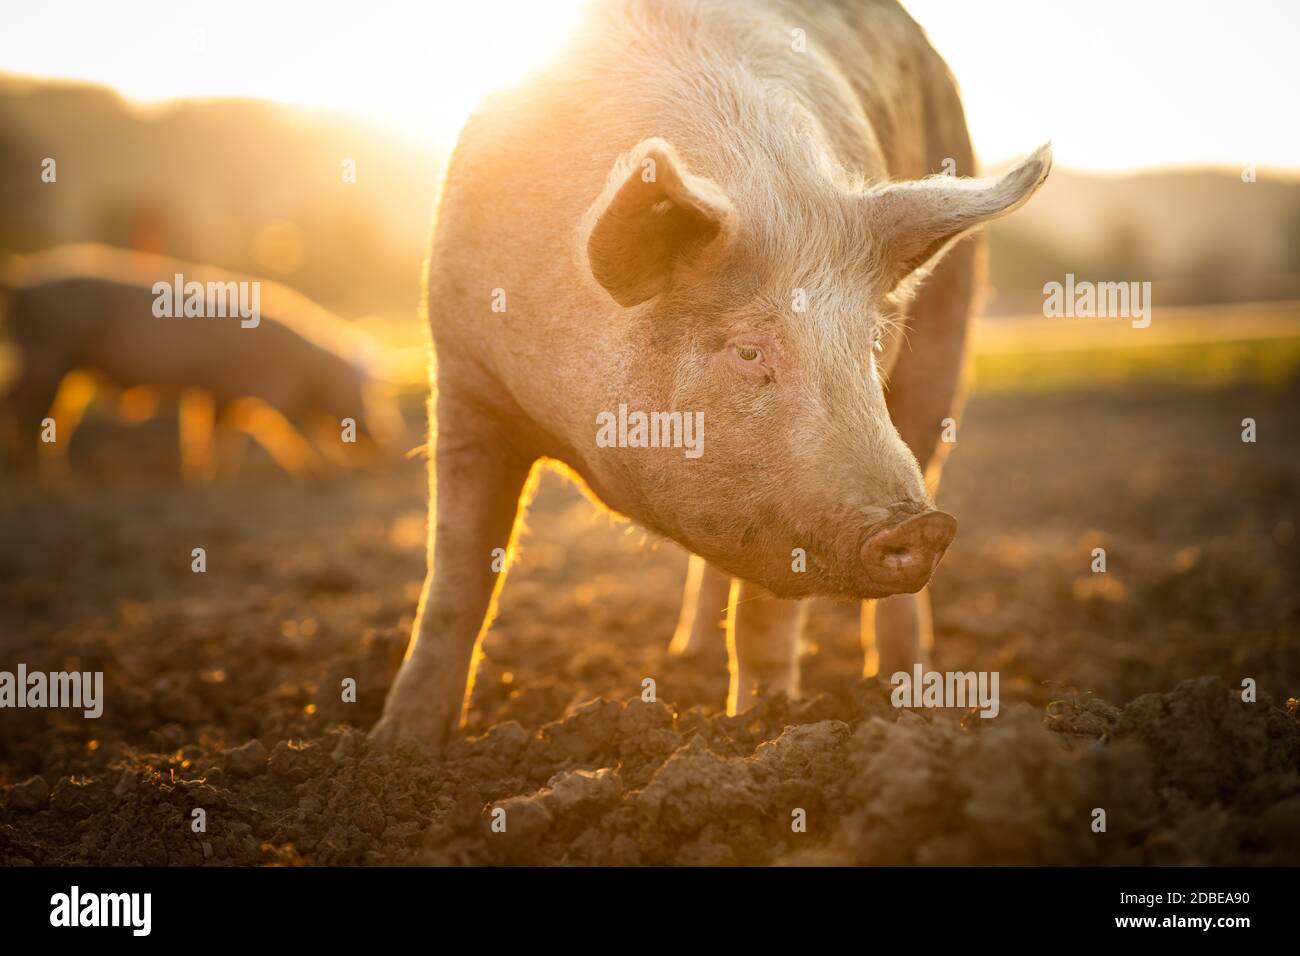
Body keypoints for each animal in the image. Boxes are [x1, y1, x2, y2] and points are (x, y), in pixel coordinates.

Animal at [0, 244, 405, 478]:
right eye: (368, 394)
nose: (390, 443)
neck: (305, 366)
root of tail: (24, 282)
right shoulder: (255, 388)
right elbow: (281, 427)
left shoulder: (219, 390)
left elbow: (217, 430)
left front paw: (209, 472)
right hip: (49, 352)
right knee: (28, 407)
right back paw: (41, 473)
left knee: (22, 401)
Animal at [372, 0, 1049, 744]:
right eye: (748, 352)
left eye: (871, 342)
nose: (921, 529)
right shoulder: (465, 378)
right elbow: (456, 578)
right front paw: (398, 743)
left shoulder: (785, 507)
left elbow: (768, 613)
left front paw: (762, 726)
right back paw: (686, 654)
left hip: (946, 345)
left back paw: (906, 692)